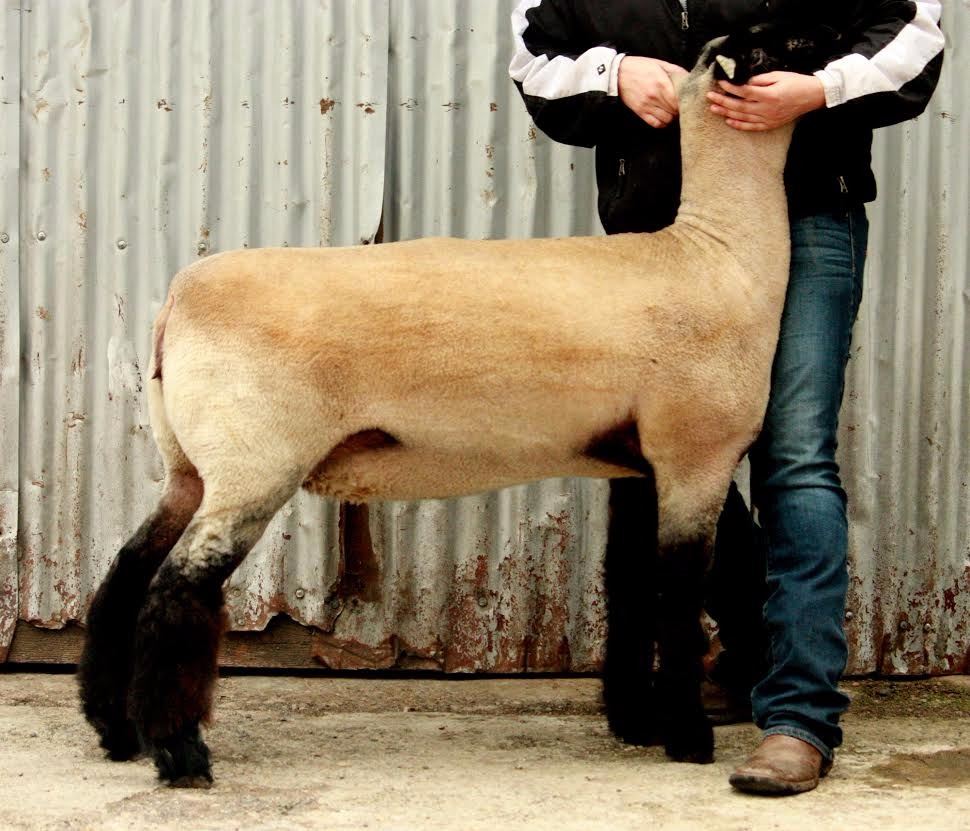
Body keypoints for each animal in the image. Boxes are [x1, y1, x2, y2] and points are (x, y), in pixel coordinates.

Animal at [78, 25, 827, 787]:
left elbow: (627, 588)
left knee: (126, 575)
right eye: (782, 42)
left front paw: (635, 722)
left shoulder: (635, 467)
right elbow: (675, 596)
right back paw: (180, 752)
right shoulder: (693, 455)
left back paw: (116, 727)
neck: (715, 256)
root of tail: (175, 301)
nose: (839, 54)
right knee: (175, 590)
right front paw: (686, 735)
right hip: (254, 459)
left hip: (191, 465)